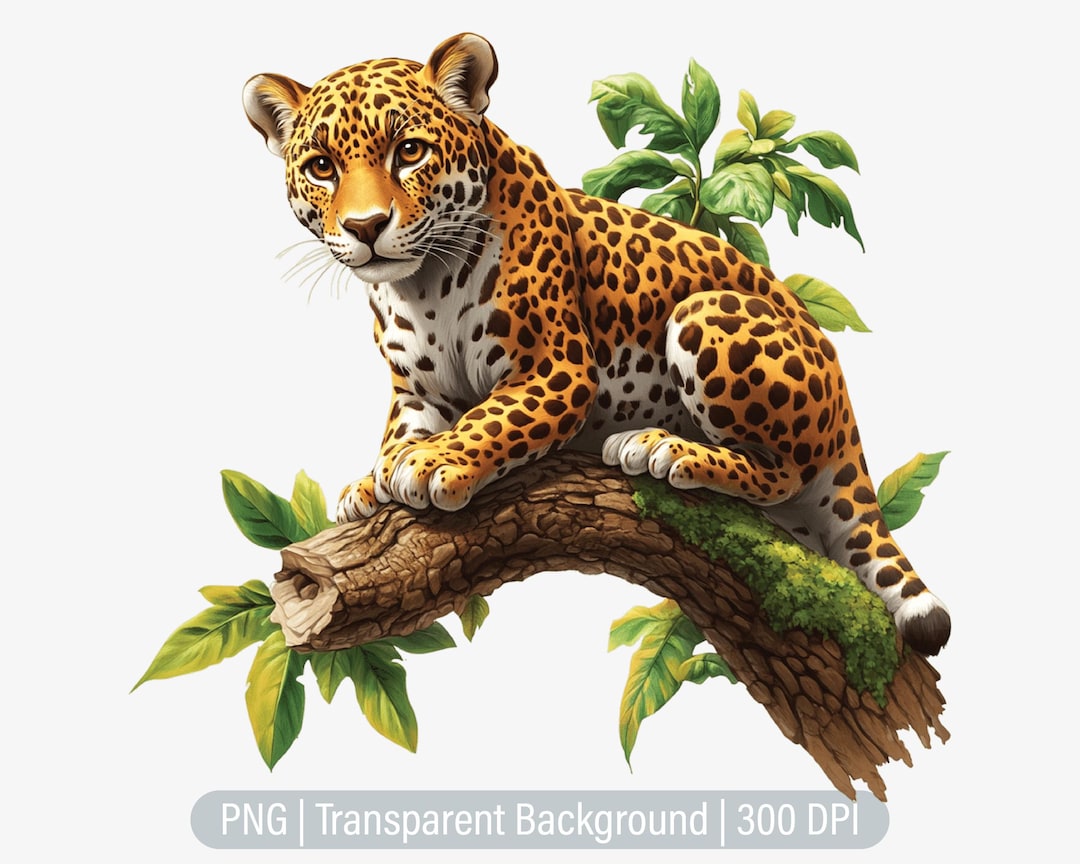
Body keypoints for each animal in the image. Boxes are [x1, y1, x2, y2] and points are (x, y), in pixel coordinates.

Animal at [243, 33, 951, 655]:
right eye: (322, 168)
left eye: (409, 151)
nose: (365, 227)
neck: (422, 285)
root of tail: (845, 403)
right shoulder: (417, 393)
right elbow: (400, 431)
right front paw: (370, 482)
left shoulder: (554, 368)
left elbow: (490, 419)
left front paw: (434, 463)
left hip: (706, 314)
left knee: (782, 471)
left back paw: (665, 448)